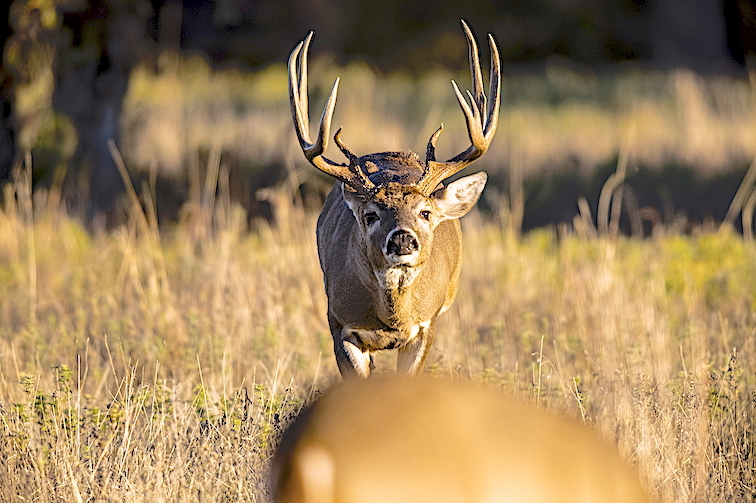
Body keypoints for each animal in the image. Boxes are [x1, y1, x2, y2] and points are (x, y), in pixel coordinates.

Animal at [288, 21, 499, 379]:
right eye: (370, 215)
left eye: (425, 213)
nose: (402, 240)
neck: (392, 319)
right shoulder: (339, 324)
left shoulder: (426, 327)